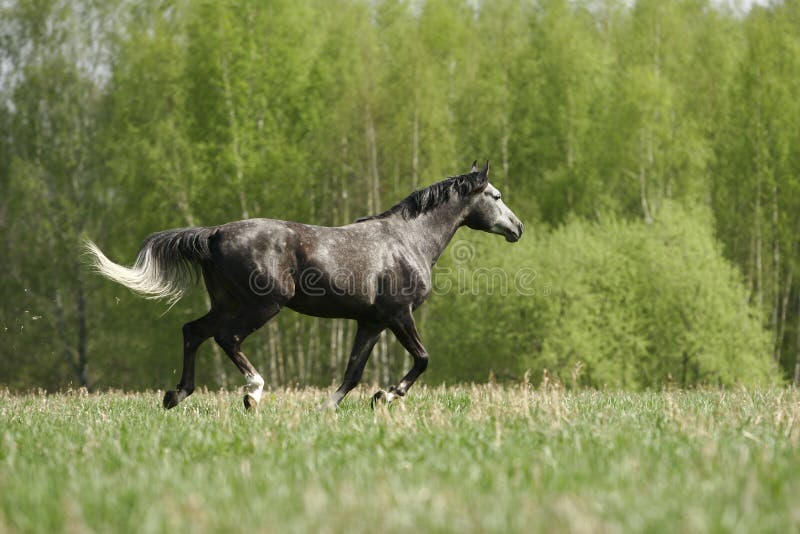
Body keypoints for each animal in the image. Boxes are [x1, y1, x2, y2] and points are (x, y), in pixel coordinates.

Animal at [84, 160, 523, 410]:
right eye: (497, 196)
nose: (517, 228)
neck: (409, 240)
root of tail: (213, 234)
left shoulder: (371, 322)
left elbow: (352, 372)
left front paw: (328, 410)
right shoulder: (399, 315)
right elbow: (422, 358)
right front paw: (386, 396)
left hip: (225, 303)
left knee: (193, 331)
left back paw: (176, 395)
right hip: (261, 306)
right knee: (226, 338)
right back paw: (253, 393)